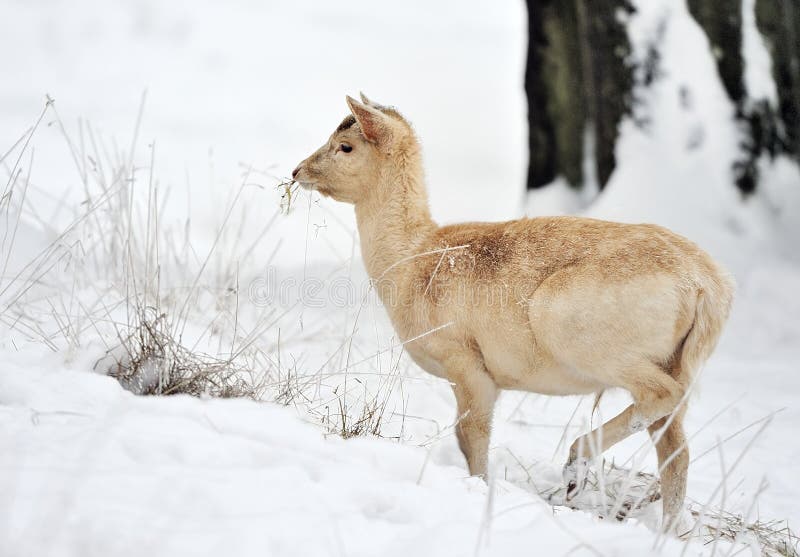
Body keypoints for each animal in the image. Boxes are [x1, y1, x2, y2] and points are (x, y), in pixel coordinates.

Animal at [291, 94, 734, 531]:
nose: (298, 171)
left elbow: (469, 435)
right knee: (675, 449)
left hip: (582, 334)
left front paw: (479, 486)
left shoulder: (465, 359)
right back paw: (668, 527)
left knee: (664, 396)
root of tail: (707, 287)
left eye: (345, 146)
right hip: (675, 357)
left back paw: (575, 465)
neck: (413, 259)